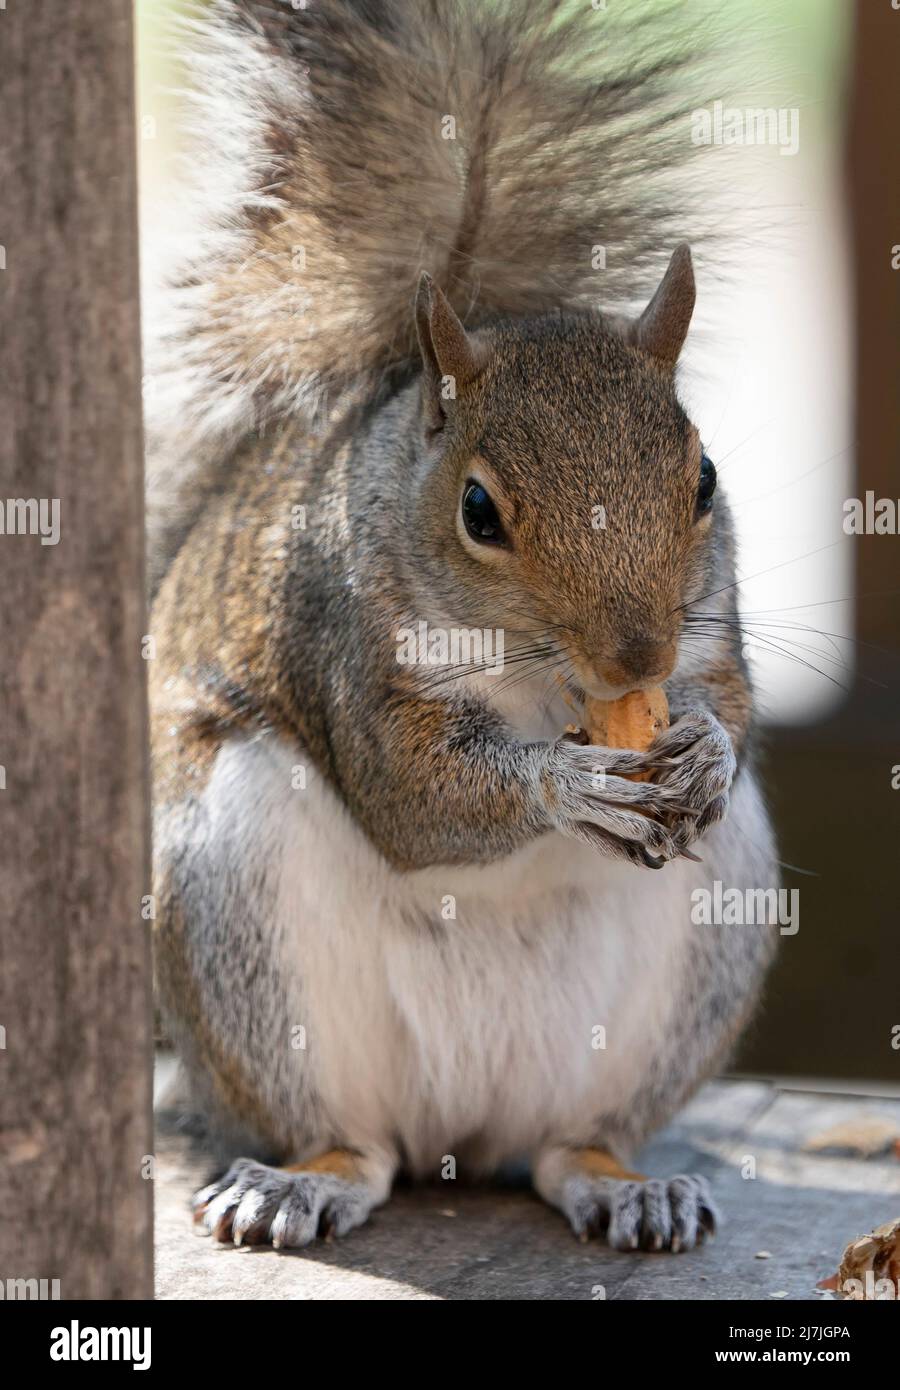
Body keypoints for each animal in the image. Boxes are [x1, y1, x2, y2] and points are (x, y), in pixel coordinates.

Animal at [148, 0, 777, 1253]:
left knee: (570, 1145)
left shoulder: (715, 626)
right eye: (480, 512)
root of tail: (462, 1135)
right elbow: (412, 791)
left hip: (700, 949)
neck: (549, 687)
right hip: (237, 922)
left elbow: (731, 707)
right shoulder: (344, 640)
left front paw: (700, 748)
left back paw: (627, 1182)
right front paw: (566, 782)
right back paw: (300, 1178)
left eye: (705, 479)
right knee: (349, 1139)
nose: (638, 657)